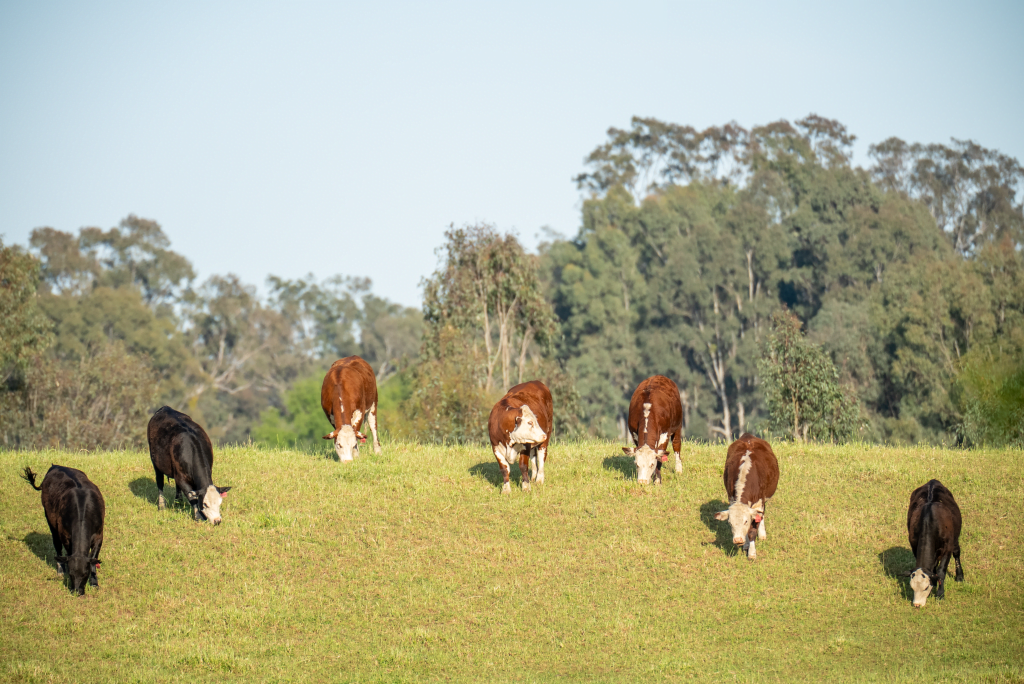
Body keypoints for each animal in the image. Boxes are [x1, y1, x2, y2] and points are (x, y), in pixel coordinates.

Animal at [21, 465, 105, 595]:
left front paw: (94, 583)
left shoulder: (99, 535)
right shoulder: (65, 536)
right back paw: (60, 570)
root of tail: (56, 466)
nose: (77, 591)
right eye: (71, 574)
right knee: (57, 545)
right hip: (50, 520)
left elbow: (93, 560)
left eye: (85, 574)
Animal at [907, 479, 964, 608]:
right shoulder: (914, 546)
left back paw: (959, 576)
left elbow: (941, 571)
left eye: (925, 587)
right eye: (912, 587)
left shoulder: (947, 548)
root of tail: (932, 481)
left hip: (955, 539)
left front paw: (940, 594)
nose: (917, 605)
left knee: (957, 552)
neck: (929, 522)